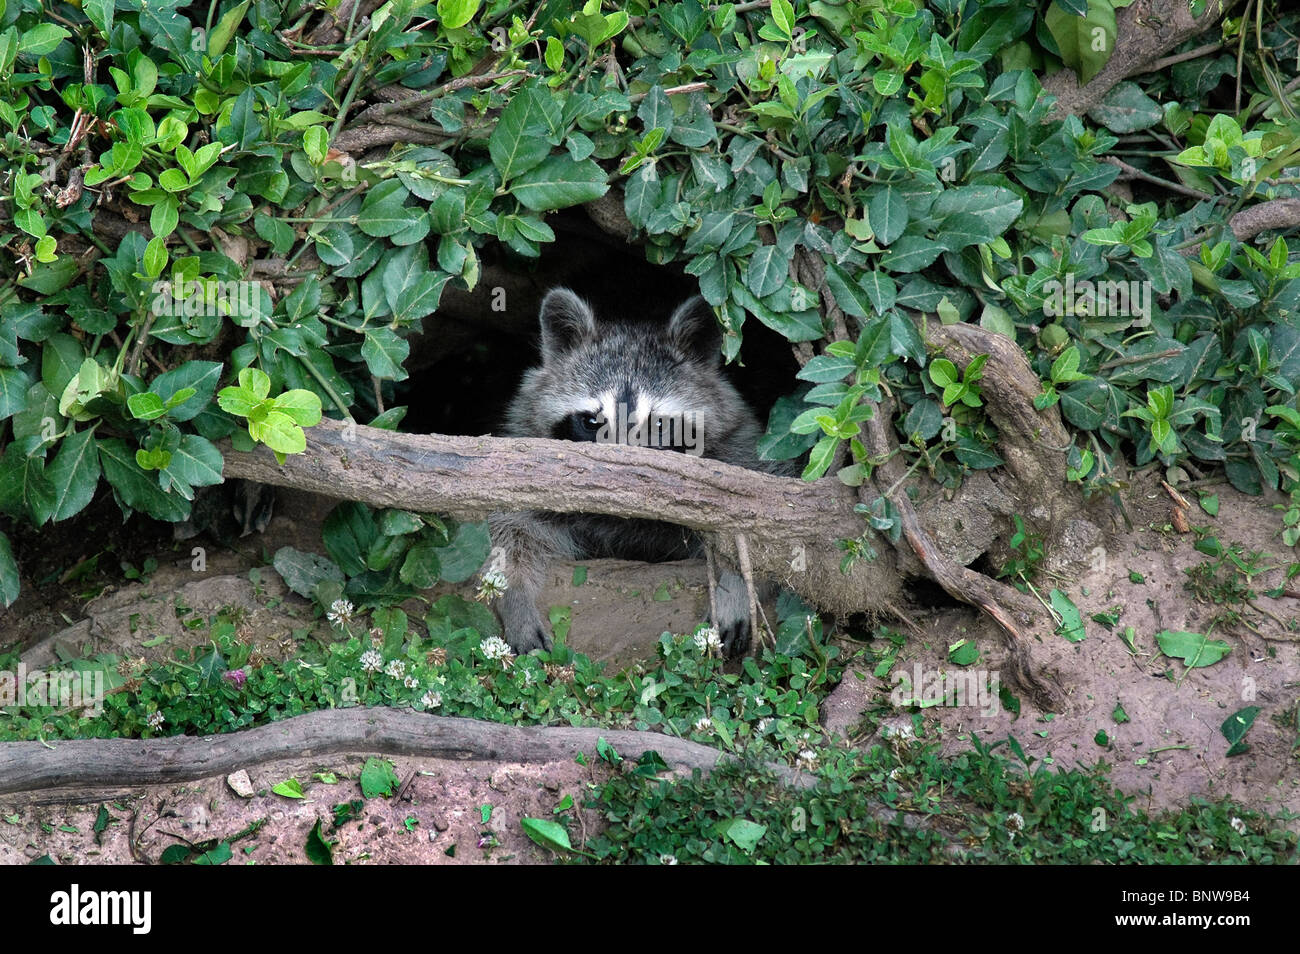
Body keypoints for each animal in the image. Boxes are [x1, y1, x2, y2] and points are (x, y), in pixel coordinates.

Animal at [490, 287, 792, 658]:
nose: (617, 485)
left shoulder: (738, 449)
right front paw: (512, 590)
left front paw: (736, 584)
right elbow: (514, 525)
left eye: (659, 425)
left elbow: (772, 526)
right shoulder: (533, 455)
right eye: (592, 422)